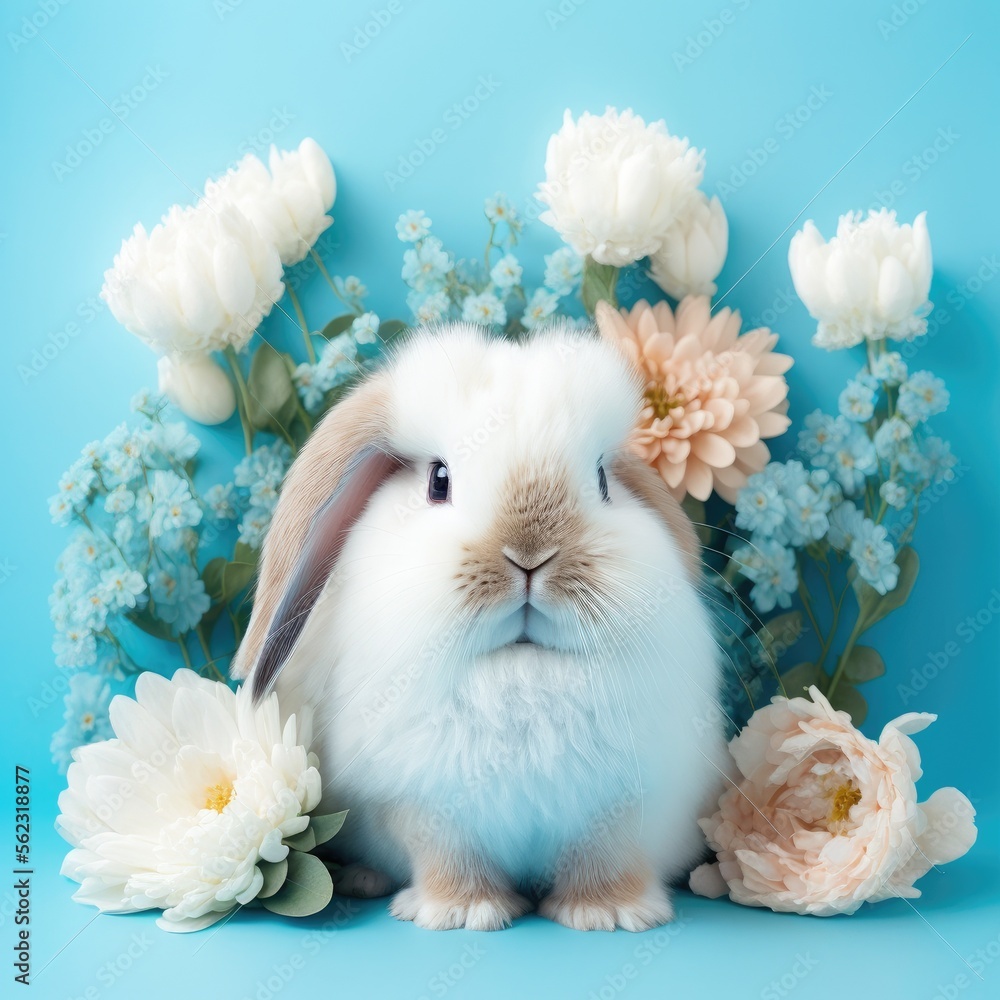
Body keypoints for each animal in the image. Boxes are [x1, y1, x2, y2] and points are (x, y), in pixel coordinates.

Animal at [231, 319, 729, 932]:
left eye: (602, 480)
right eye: (438, 481)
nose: (531, 554)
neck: (520, 674)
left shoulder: (625, 806)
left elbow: (604, 859)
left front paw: (607, 913)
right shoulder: (422, 806)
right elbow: (449, 856)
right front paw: (463, 912)